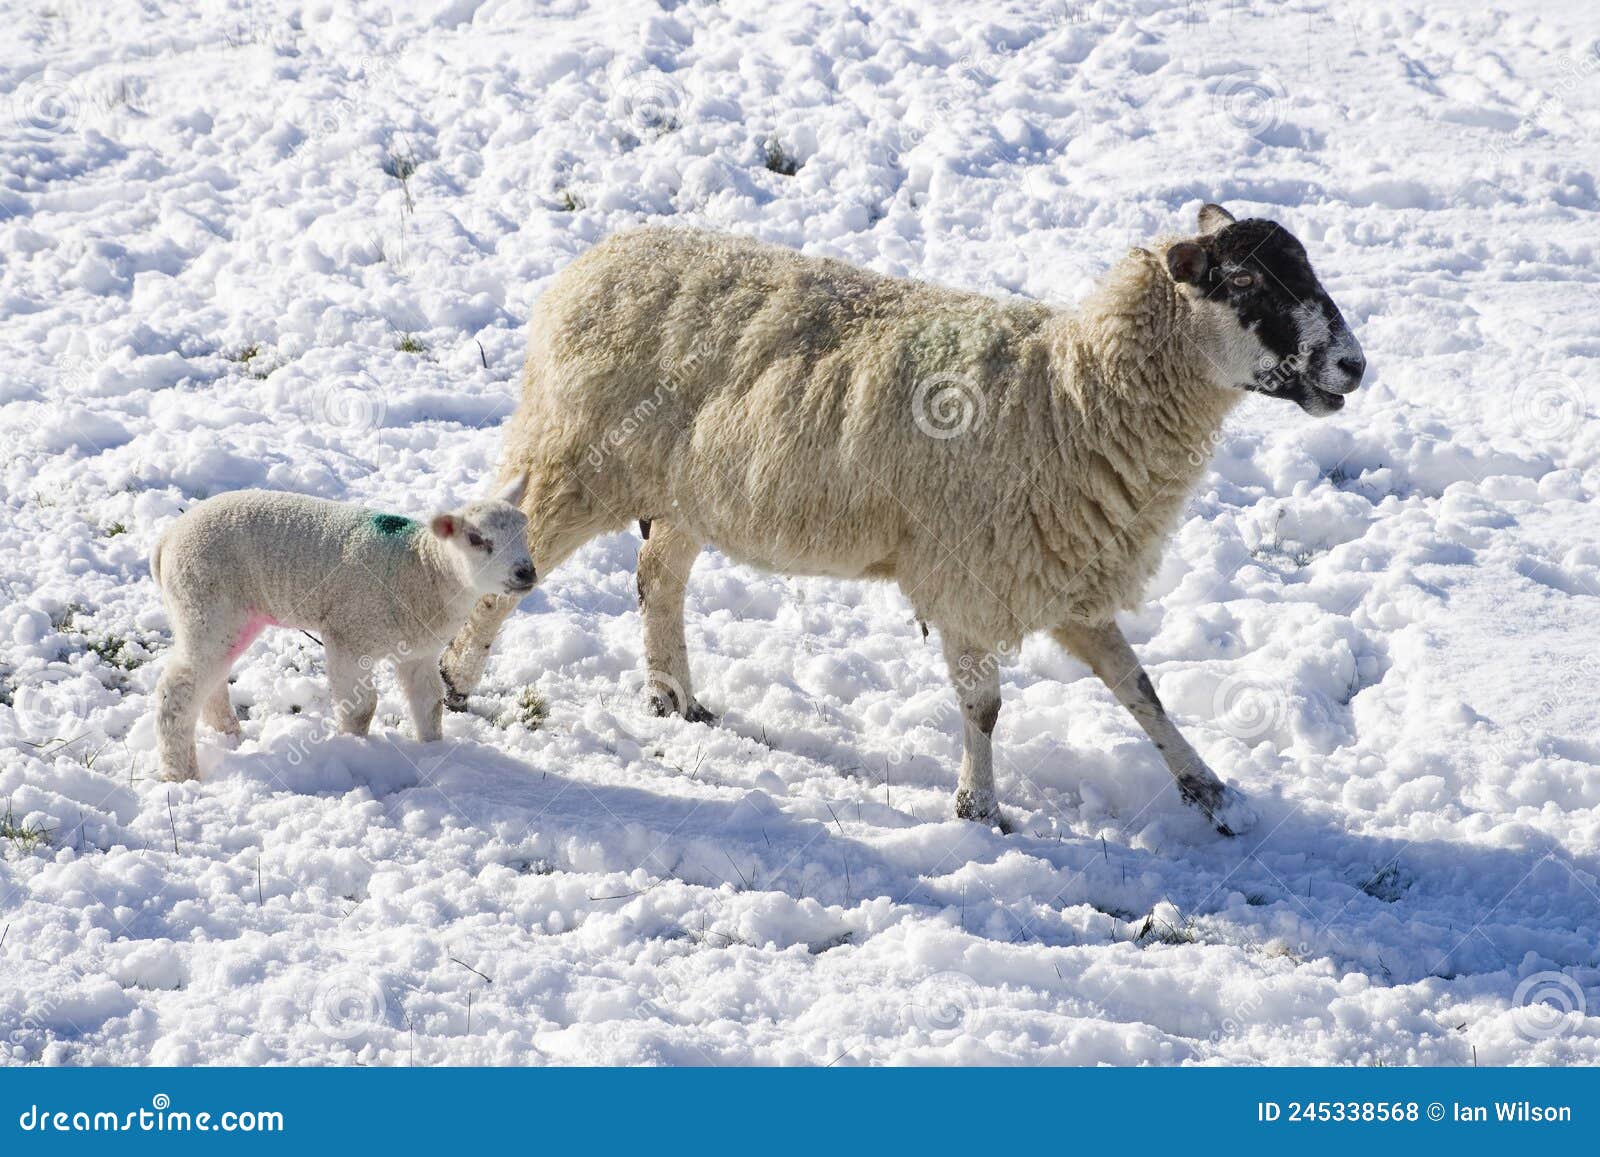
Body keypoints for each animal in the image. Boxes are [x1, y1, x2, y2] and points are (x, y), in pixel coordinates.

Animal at [151, 479, 535, 781]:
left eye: (526, 529)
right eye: (476, 538)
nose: (526, 573)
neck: (423, 569)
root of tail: (167, 538)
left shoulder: (419, 651)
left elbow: (430, 704)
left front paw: (433, 753)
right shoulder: (350, 635)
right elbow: (362, 708)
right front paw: (357, 750)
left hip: (230, 616)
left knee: (213, 679)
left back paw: (230, 735)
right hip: (204, 601)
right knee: (179, 691)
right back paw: (183, 776)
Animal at [442, 203, 1365, 834]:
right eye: (1245, 281)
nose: (1354, 365)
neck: (1070, 395)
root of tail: (593, 263)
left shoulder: (1066, 576)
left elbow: (1140, 687)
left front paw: (1208, 790)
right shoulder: (969, 576)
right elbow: (985, 706)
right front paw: (979, 808)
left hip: (683, 495)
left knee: (657, 579)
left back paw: (677, 698)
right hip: (578, 460)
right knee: (510, 570)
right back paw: (455, 680)